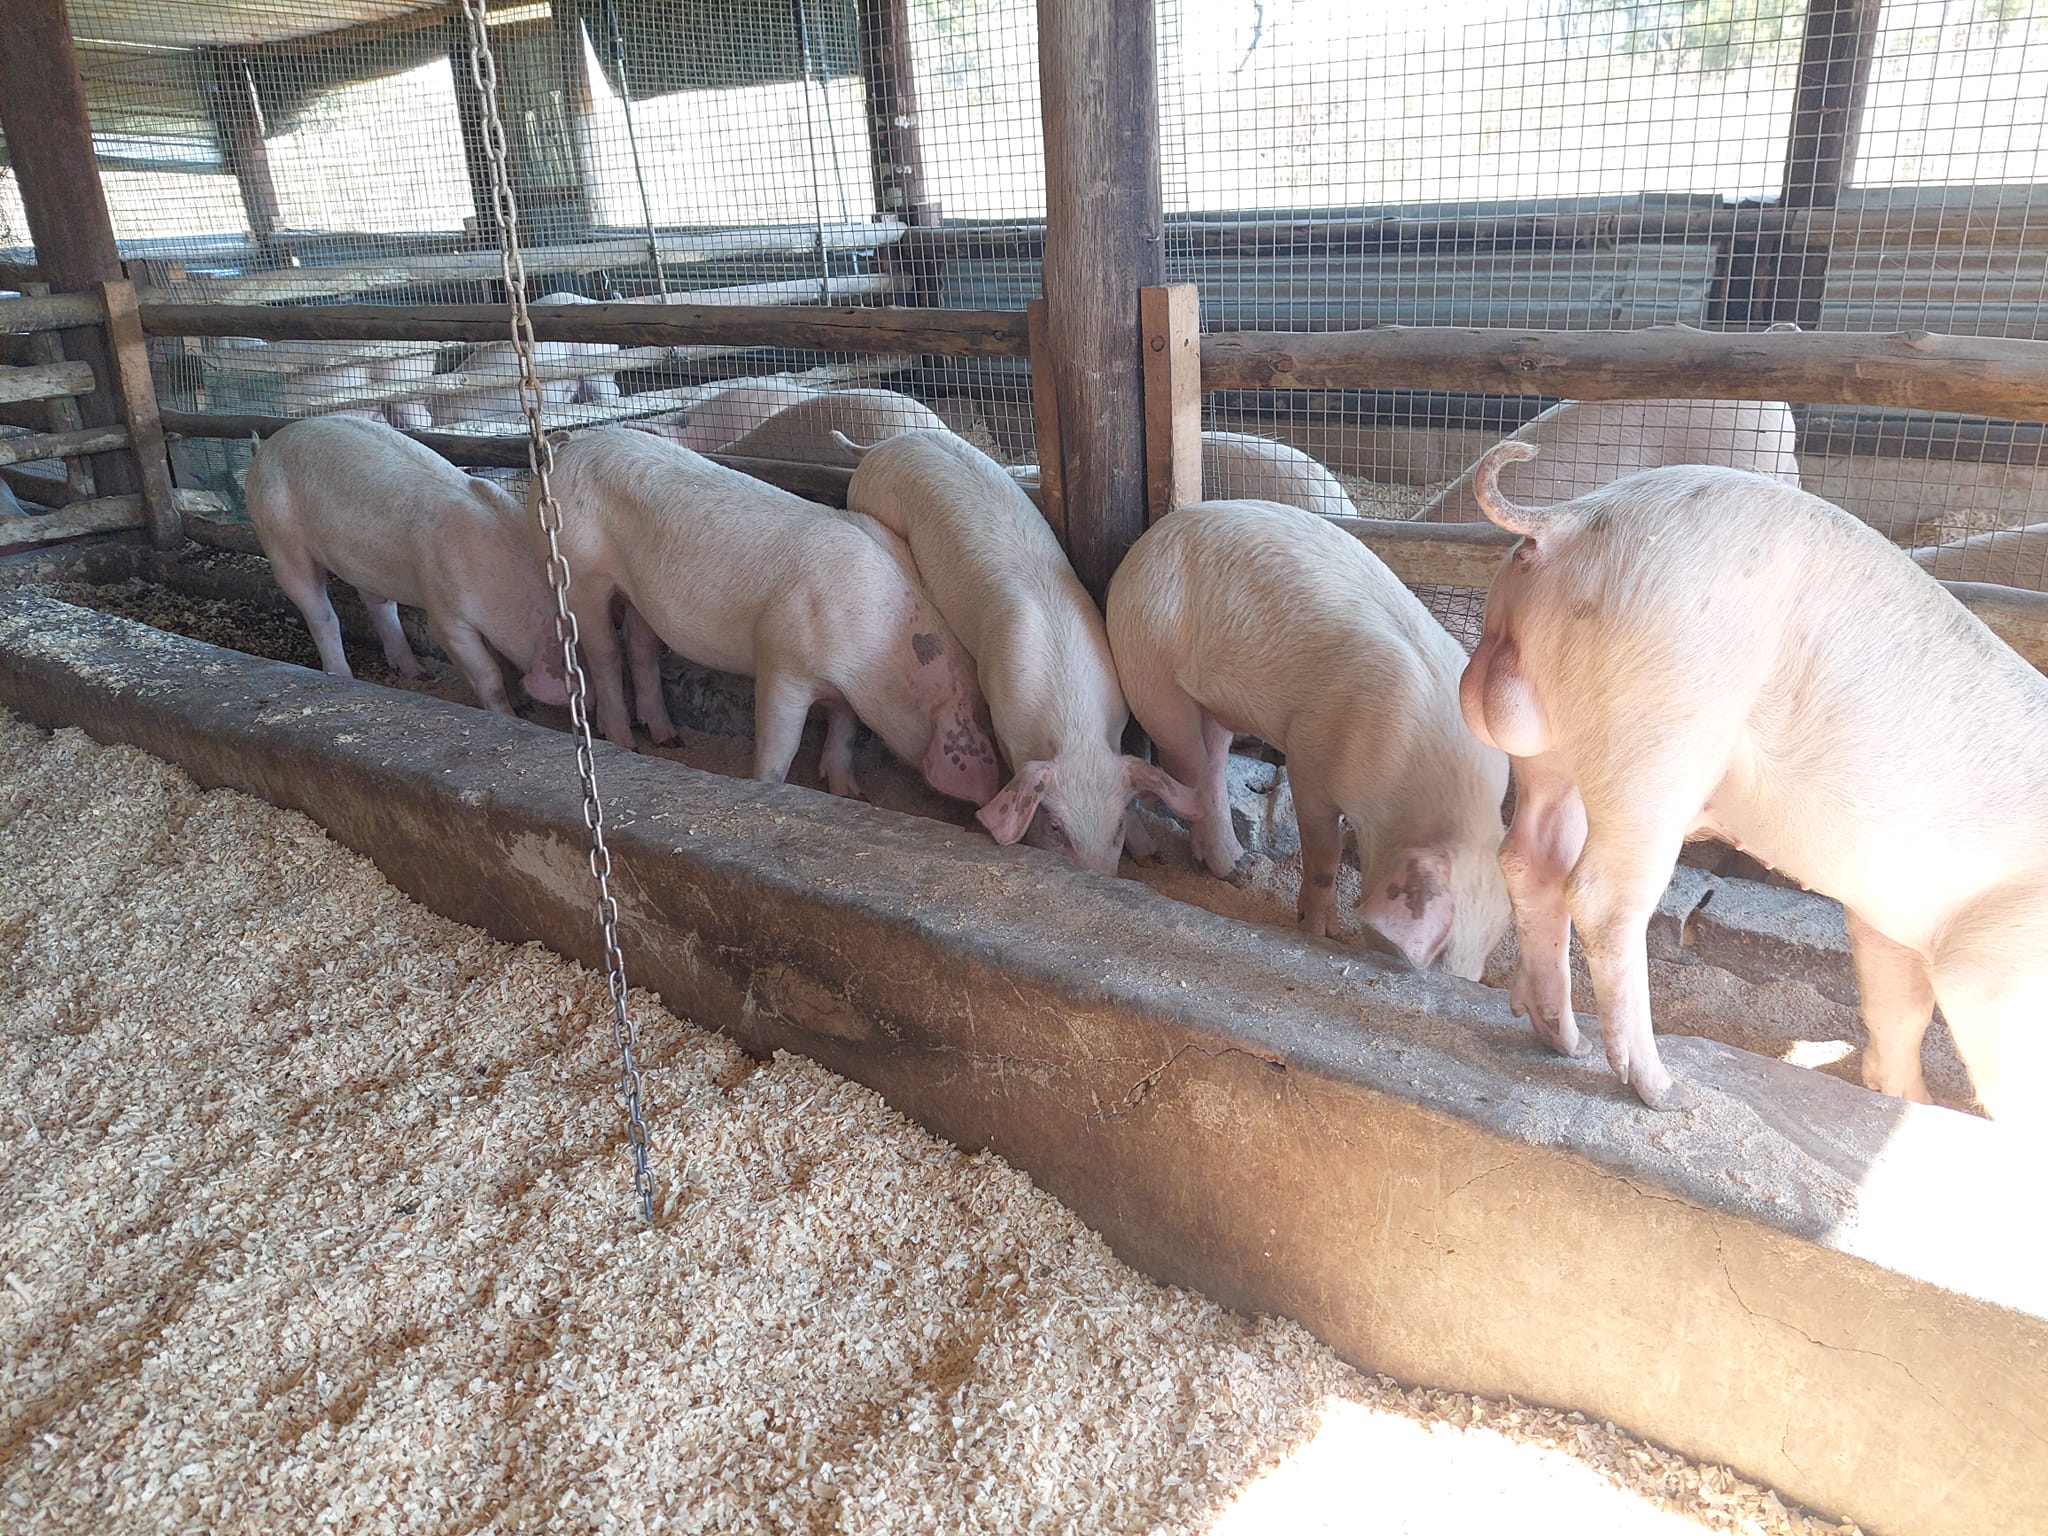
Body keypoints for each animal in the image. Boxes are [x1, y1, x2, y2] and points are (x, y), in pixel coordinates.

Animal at [243, 416, 569, 714]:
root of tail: (264, 448)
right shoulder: (446, 615)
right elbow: (488, 674)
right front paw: (508, 715)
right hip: (279, 538)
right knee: (320, 612)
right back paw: (342, 675)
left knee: (379, 606)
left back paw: (418, 673)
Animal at [542, 427, 1002, 805]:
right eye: (981, 718)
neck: (879, 653)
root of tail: (571, 446)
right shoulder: (783, 661)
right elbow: (780, 746)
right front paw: (768, 789)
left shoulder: (845, 690)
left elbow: (845, 731)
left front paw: (854, 795)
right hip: (580, 572)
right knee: (603, 655)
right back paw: (626, 743)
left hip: (635, 592)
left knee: (640, 649)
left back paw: (669, 740)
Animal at [841, 428, 1199, 874]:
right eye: (1057, 827)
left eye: (1117, 825)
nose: (1098, 877)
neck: (1073, 725)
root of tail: (881, 447)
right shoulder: (1003, 717)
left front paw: (1151, 854)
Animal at [1107, 498, 1513, 979]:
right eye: (1431, 957)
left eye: (1488, 948)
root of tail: (1139, 548)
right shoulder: (1310, 755)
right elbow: (1323, 852)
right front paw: (1320, 933)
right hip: (1149, 671)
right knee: (1188, 765)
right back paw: (1225, 870)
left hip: (1213, 704)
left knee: (1212, 765)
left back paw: (1241, 866)